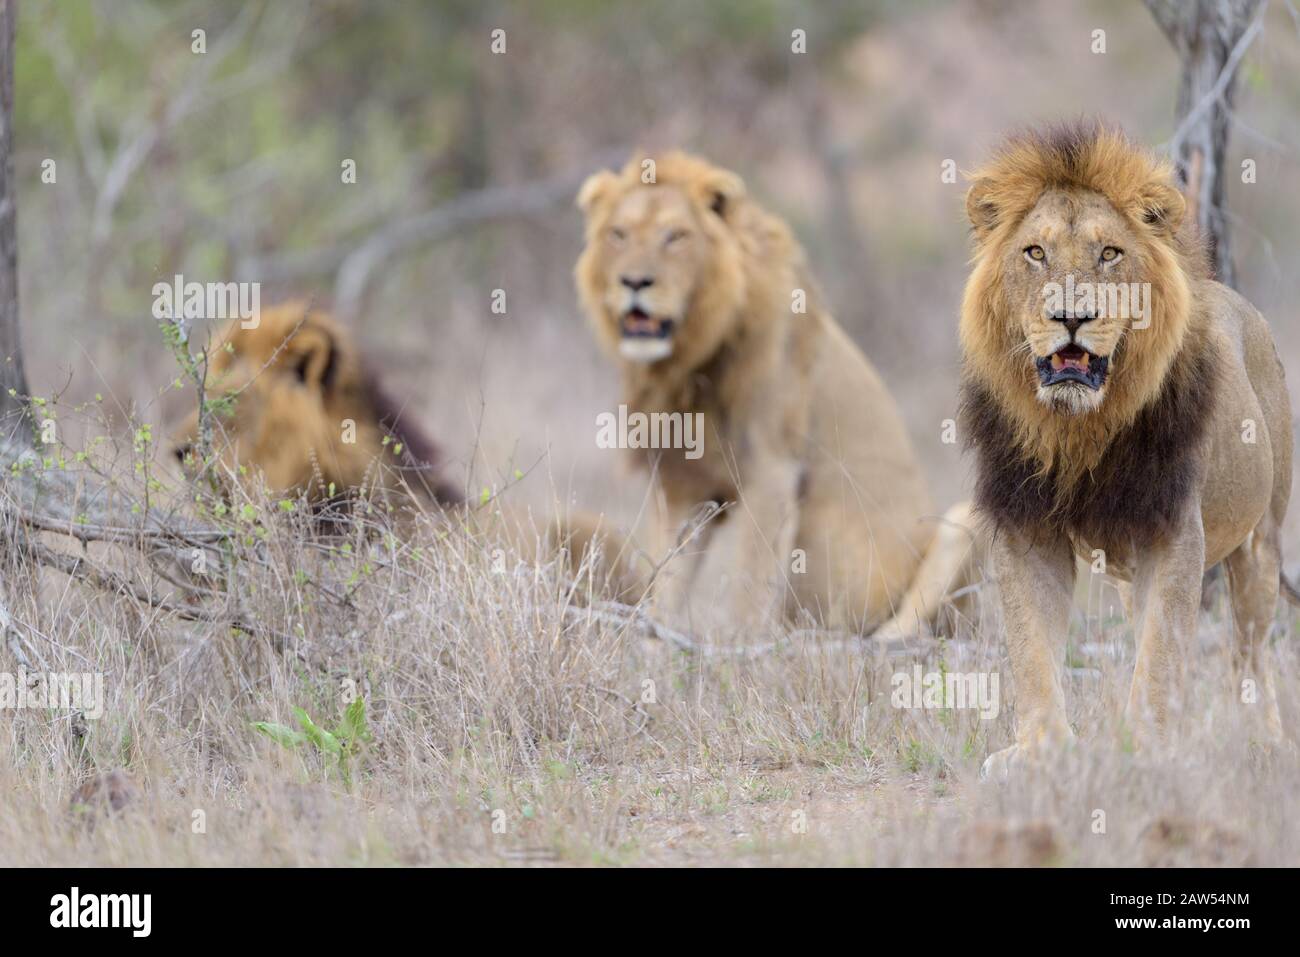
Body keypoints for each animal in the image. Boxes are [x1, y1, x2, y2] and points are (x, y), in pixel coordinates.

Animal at [575, 150, 975, 632]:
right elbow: (665, 588)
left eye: (676, 236)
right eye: (618, 234)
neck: (691, 360)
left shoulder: (772, 471)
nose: (634, 282)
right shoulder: (683, 486)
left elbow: (749, 592)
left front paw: (735, 651)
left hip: (961, 523)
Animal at [959, 121, 1294, 778]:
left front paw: (1146, 750)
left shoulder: (1171, 529)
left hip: (1260, 541)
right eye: (1034, 253)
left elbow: (1161, 652)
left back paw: (1264, 740)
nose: (1070, 316)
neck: (1078, 430)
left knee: (1250, 651)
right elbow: (1032, 650)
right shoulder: (1024, 529)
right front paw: (1039, 751)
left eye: (1109, 254)